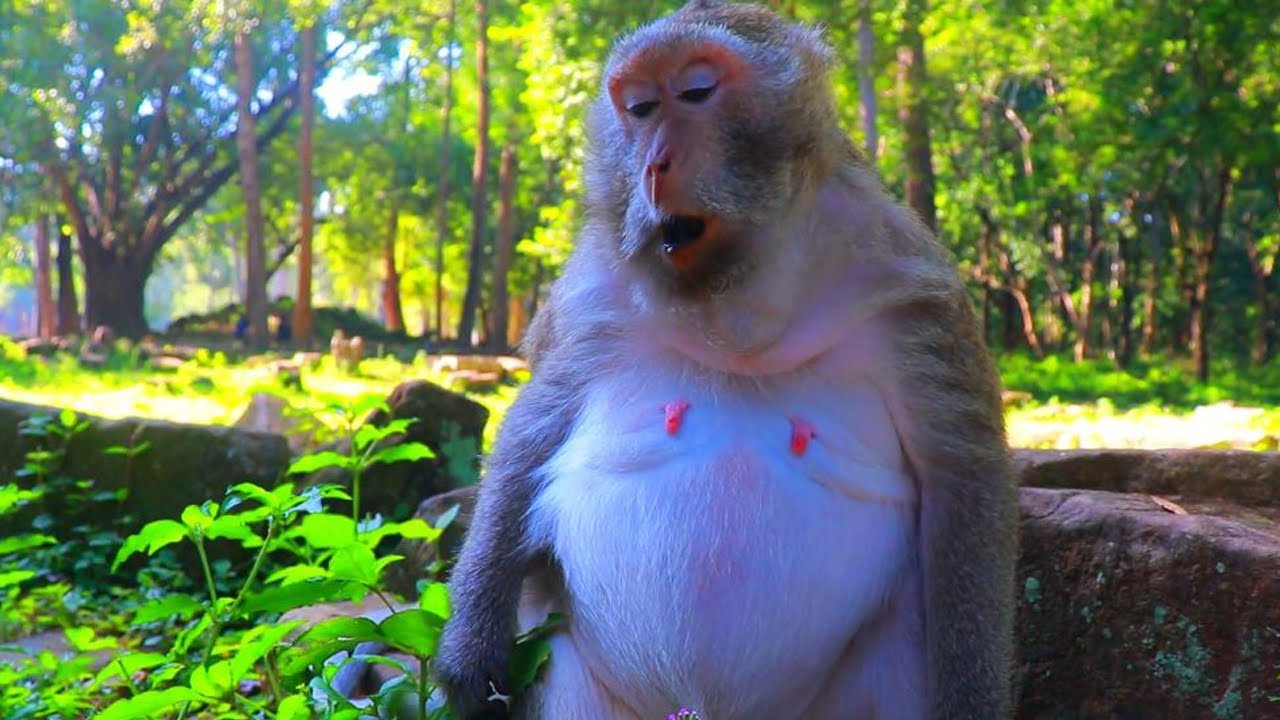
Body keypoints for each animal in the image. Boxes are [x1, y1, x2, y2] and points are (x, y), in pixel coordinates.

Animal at [432, 2, 1019, 719]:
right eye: (640, 108)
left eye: (696, 91)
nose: (655, 164)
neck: (735, 306)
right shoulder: (591, 299)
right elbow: (534, 428)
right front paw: (473, 640)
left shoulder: (914, 292)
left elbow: (961, 475)